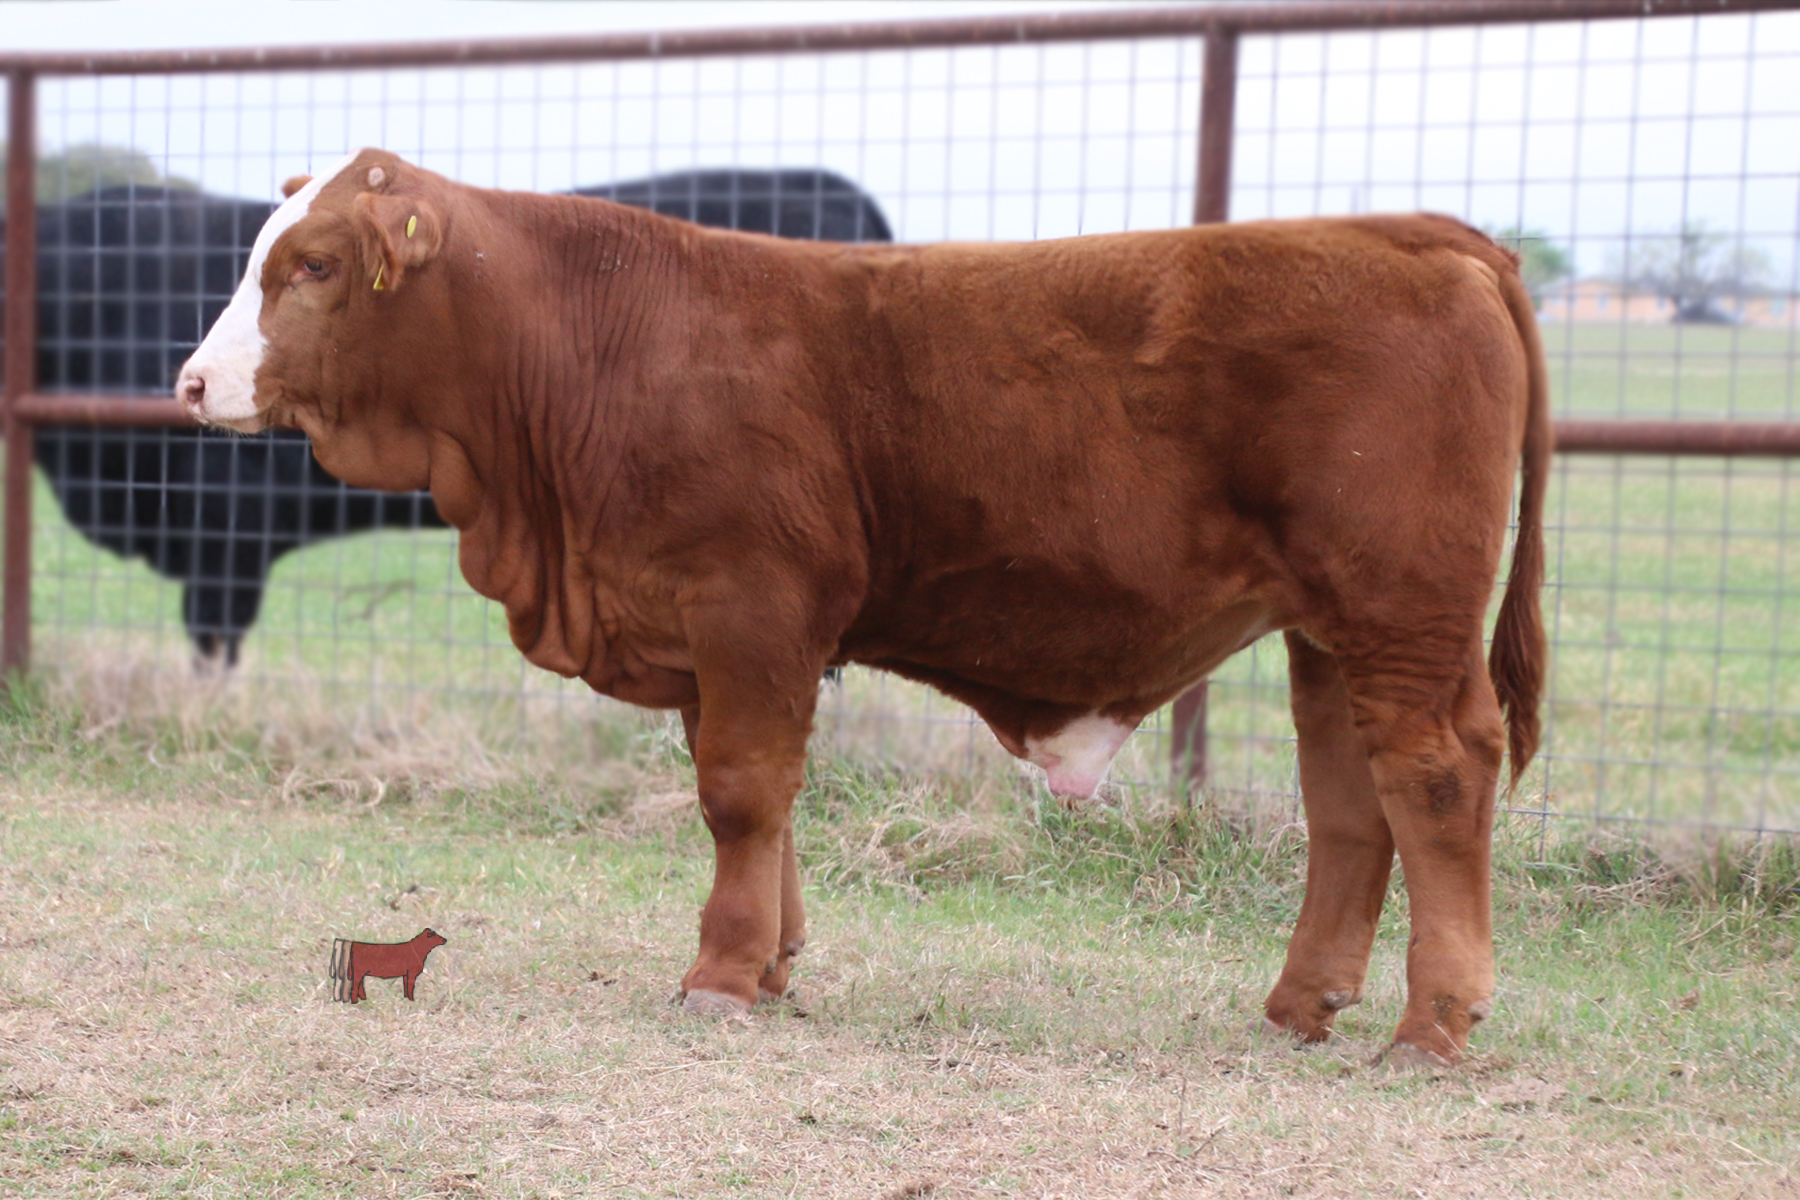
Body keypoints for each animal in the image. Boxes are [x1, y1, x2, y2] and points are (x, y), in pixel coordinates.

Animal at [177, 149, 1548, 1067]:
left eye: (312, 265)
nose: (190, 382)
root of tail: (1426, 234)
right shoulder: (721, 636)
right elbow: (766, 798)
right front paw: (776, 962)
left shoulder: (751, 606)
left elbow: (741, 794)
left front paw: (723, 974)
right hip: (1334, 631)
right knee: (1349, 804)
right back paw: (1302, 1004)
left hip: (1401, 615)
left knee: (1435, 779)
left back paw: (1434, 1025)